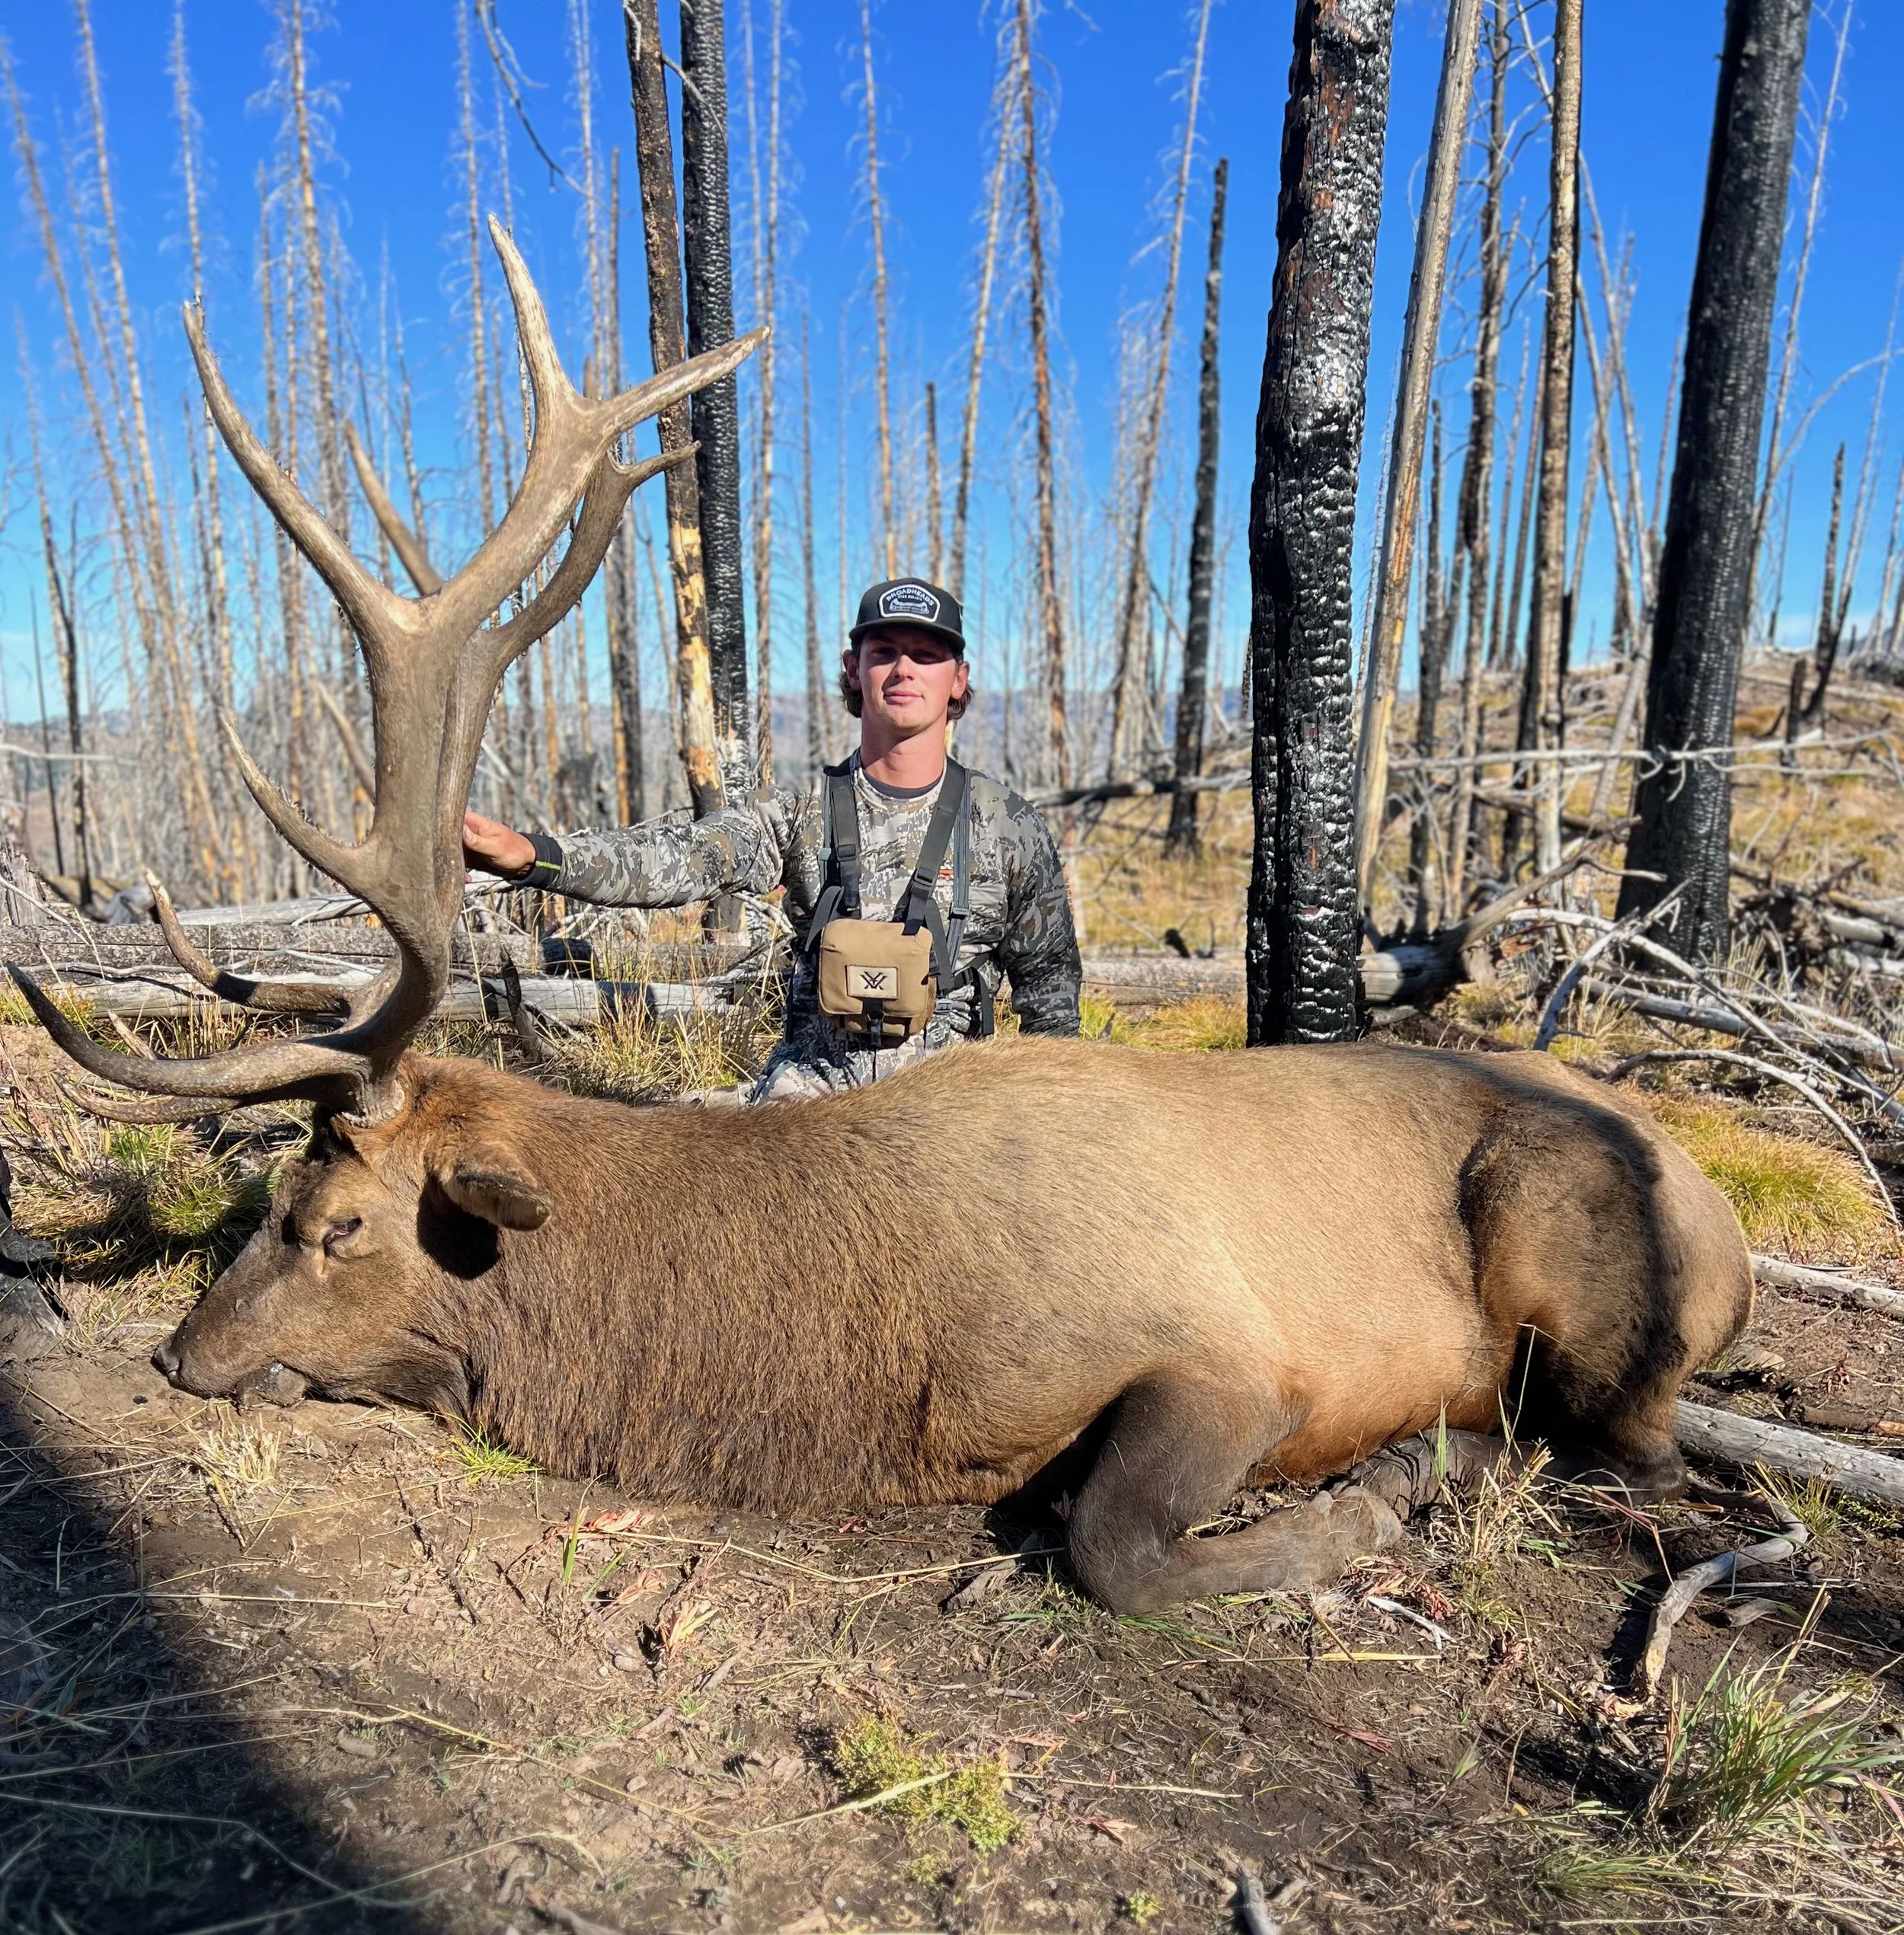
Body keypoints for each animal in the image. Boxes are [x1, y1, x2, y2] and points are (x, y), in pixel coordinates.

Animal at [11, 223, 1755, 1617]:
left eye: (335, 1224)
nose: (179, 1354)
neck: (849, 1354)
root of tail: (1718, 1205)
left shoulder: (1230, 1351)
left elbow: (1114, 1546)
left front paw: (1382, 1493)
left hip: (1590, 1270)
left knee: (1638, 1455)